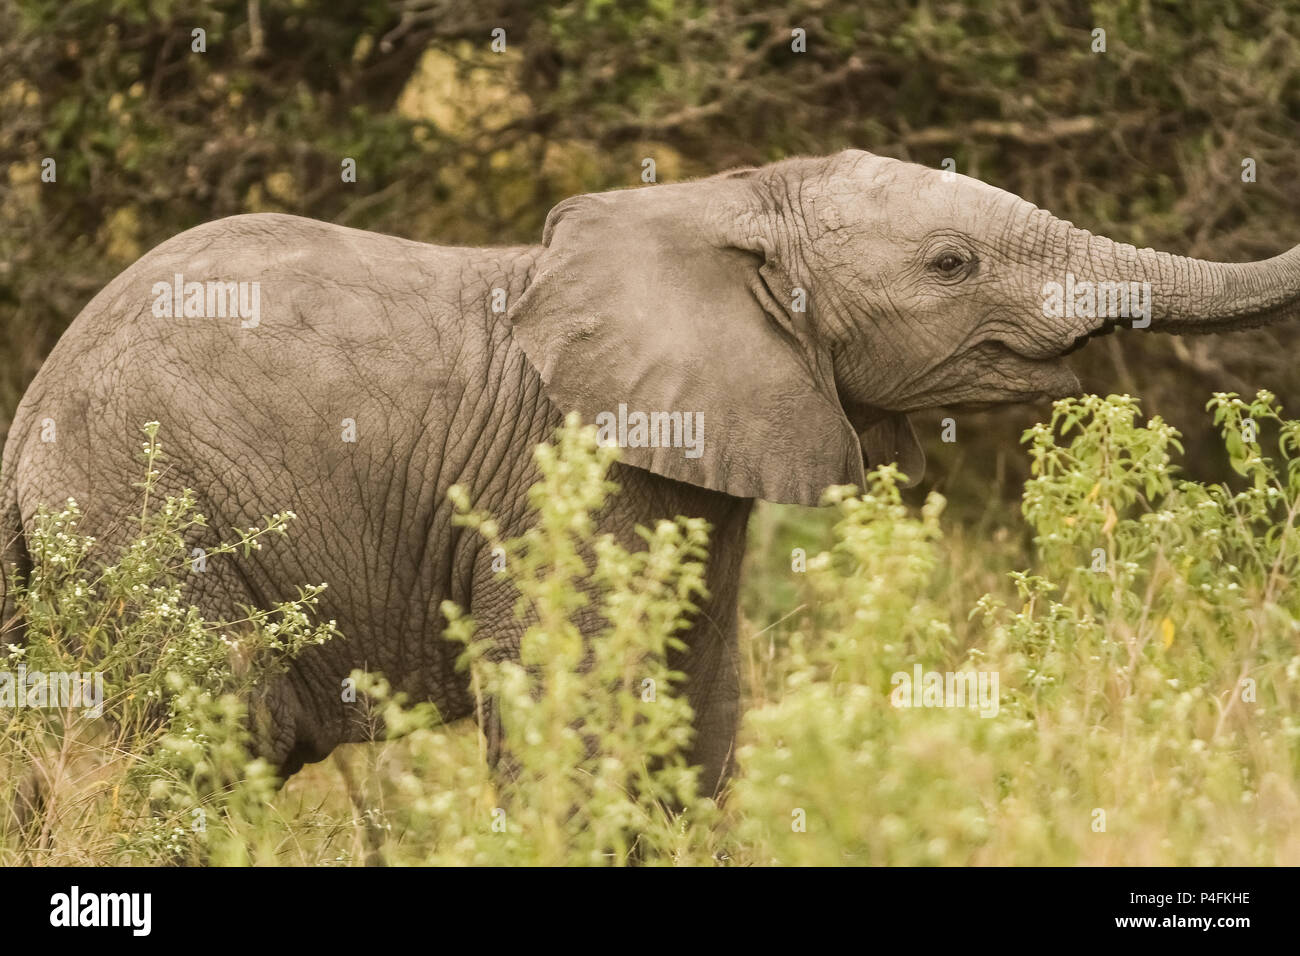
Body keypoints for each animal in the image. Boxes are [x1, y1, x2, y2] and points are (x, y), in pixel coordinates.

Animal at [1, 149, 1295, 797]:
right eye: (949, 263)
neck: (718, 202)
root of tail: (24, 422)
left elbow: (699, 704)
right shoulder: (554, 476)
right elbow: (573, 708)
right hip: (145, 514)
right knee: (214, 730)